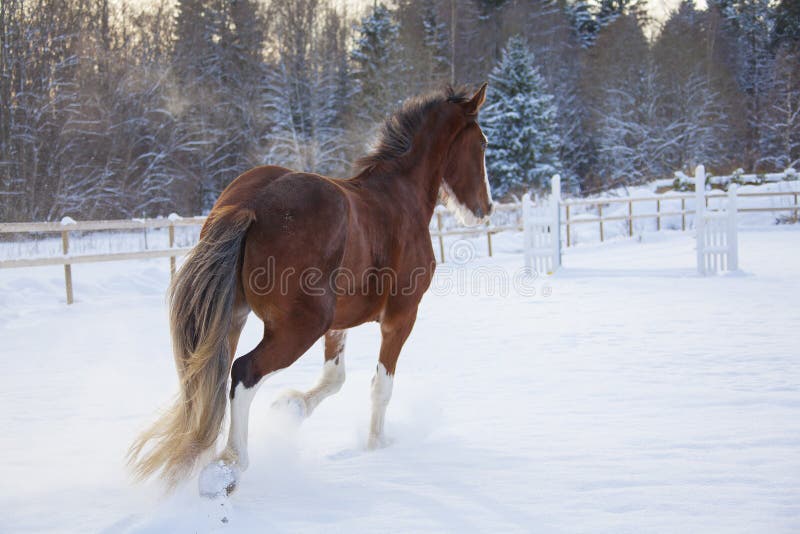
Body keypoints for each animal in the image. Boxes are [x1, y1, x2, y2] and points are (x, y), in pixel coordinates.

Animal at [128, 83, 493, 496]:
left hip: (232, 321)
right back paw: (227, 468)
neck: (399, 199)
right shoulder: (400, 318)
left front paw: (291, 408)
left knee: (209, 379)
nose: (485, 208)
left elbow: (335, 378)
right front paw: (376, 447)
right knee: (243, 372)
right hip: (299, 328)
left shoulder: (339, 324)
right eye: (482, 143)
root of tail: (250, 205)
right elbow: (381, 386)